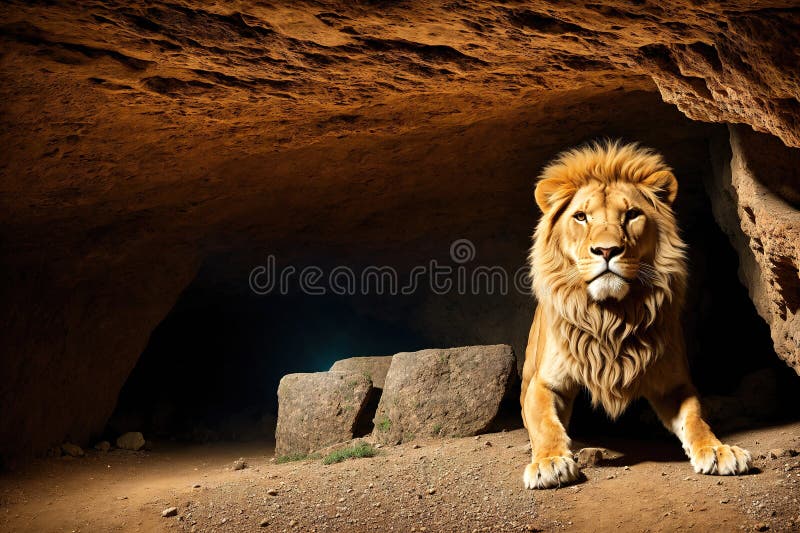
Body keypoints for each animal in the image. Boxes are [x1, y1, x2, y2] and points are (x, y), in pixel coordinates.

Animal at [520, 140, 751, 489]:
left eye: (631, 215)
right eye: (580, 217)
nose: (606, 250)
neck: (611, 316)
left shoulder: (674, 383)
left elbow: (696, 418)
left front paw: (718, 450)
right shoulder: (544, 383)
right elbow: (545, 422)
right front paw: (550, 461)